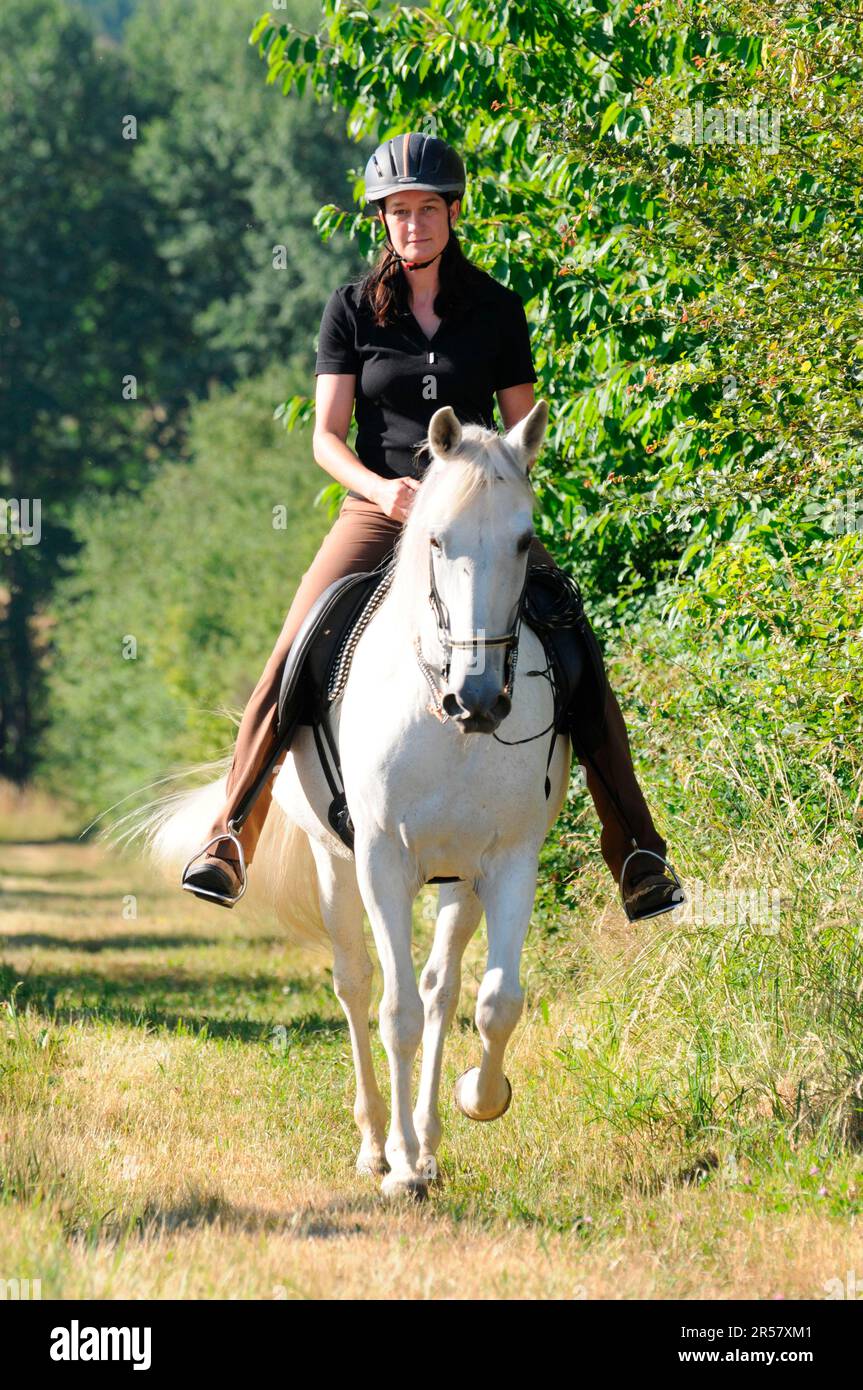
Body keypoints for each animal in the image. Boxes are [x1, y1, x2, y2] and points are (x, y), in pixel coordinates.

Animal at [145, 399, 571, 1200]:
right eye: (436, 538)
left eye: (524, 539)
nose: (477, 700)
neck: (446, 721)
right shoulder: (380, 860)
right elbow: (394, 1009)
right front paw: (399, 1169)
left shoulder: (507, 862)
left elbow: (495, 1001)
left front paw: (477, 1098)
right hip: (334, 863)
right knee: (357, 983)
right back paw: (379, 1144)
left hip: (456, 880)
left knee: (442, 988)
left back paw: (429, 1144)